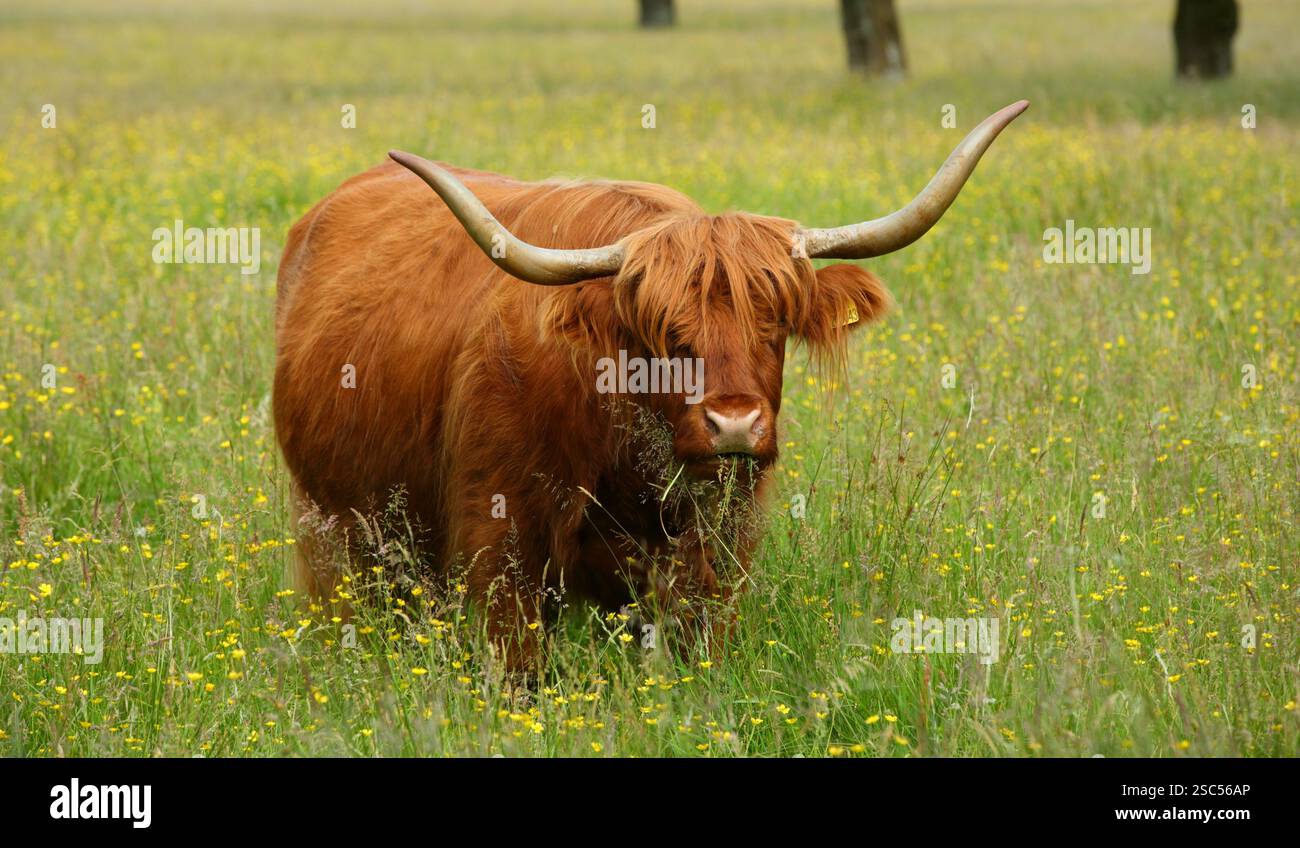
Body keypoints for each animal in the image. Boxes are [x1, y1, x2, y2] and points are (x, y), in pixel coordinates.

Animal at [273, 101, 1028, 671]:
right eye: (664, 335)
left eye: (775, 325)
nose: (734, 424)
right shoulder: (501, 538)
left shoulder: (718, 539)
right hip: (330, 529)